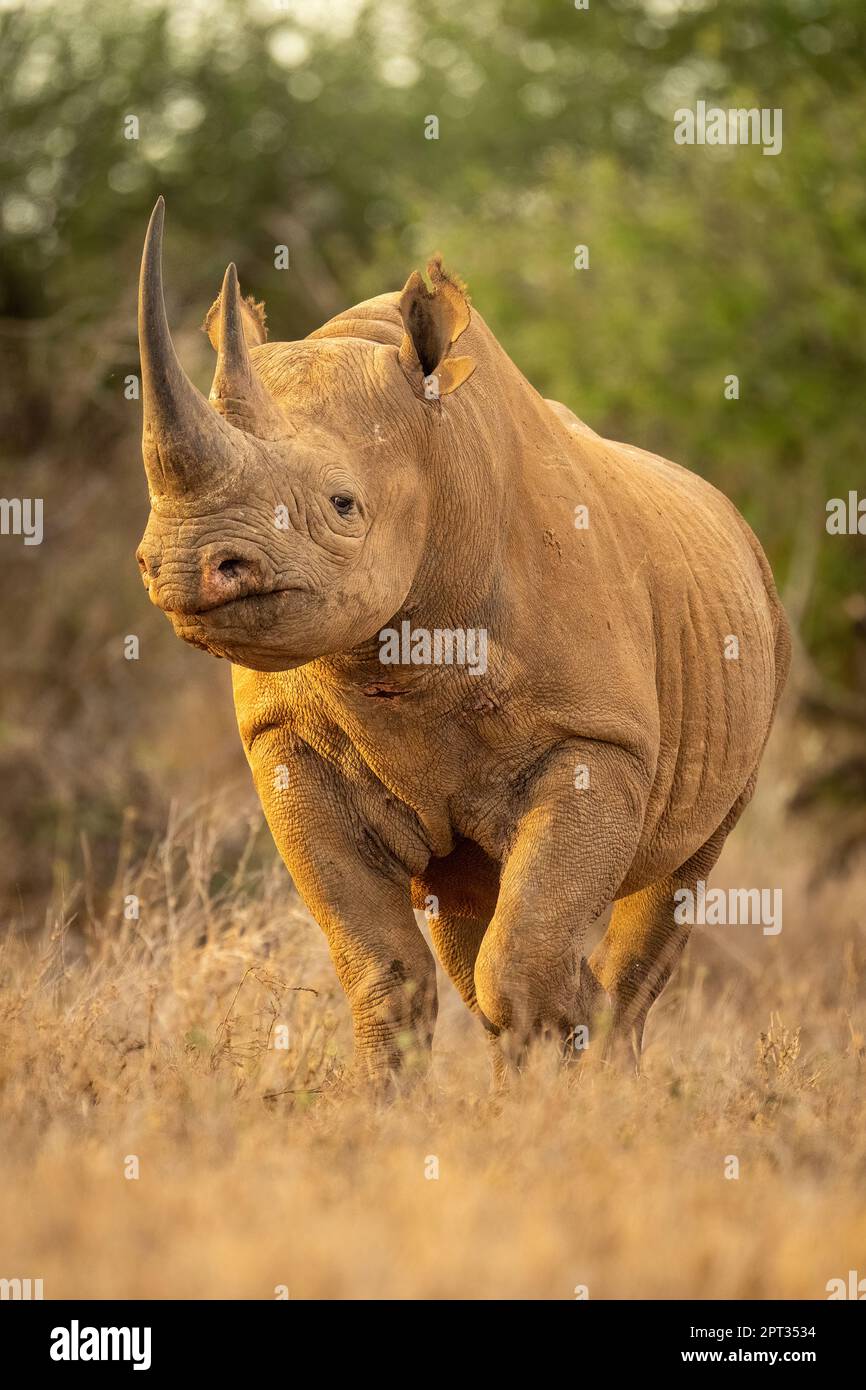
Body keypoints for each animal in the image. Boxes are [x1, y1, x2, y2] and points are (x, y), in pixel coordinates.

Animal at [135, 198, 790, 1084]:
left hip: (760, 639)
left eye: (343, 505)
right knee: (468, 917)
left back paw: (609, 1071)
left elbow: (524, 957)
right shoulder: (287, 740)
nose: (184, 564)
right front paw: (382, 1108)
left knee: (670, 886)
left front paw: (554, 1090)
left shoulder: (597, 738)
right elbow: (383, 967)